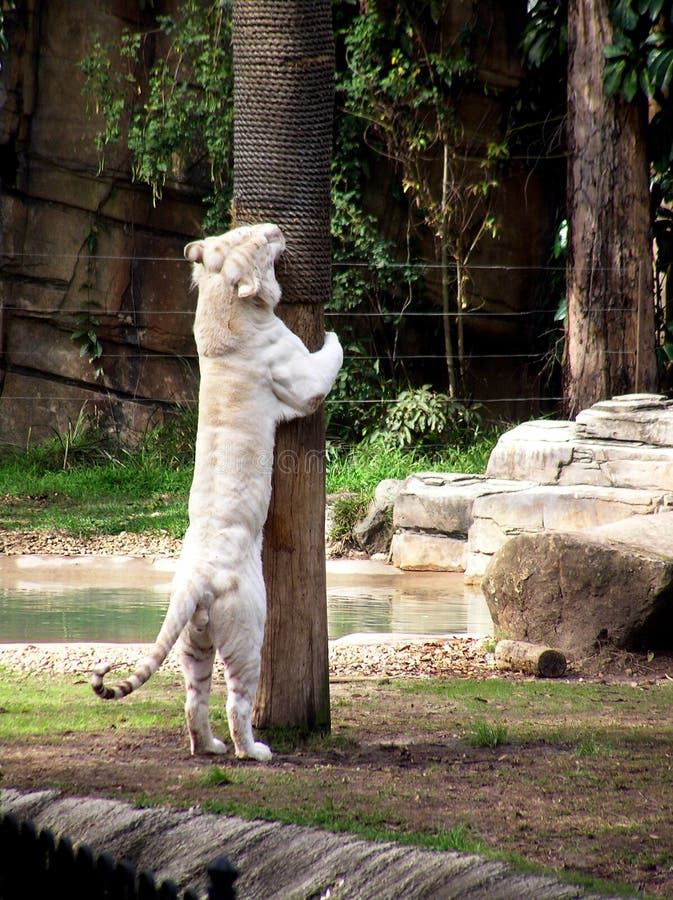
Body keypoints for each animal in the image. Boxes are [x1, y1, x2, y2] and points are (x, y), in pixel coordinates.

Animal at [91, 222, 343, 761]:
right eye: (258, 240)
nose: (277, 227)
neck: (220, 305)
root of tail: (194, 584)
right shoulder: (299, 377)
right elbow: (326, 364)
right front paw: (335, 332)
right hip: (247, 629)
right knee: (237, 700)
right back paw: (254, 750)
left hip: (194, 642)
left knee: (194, 701)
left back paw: (208, 747)